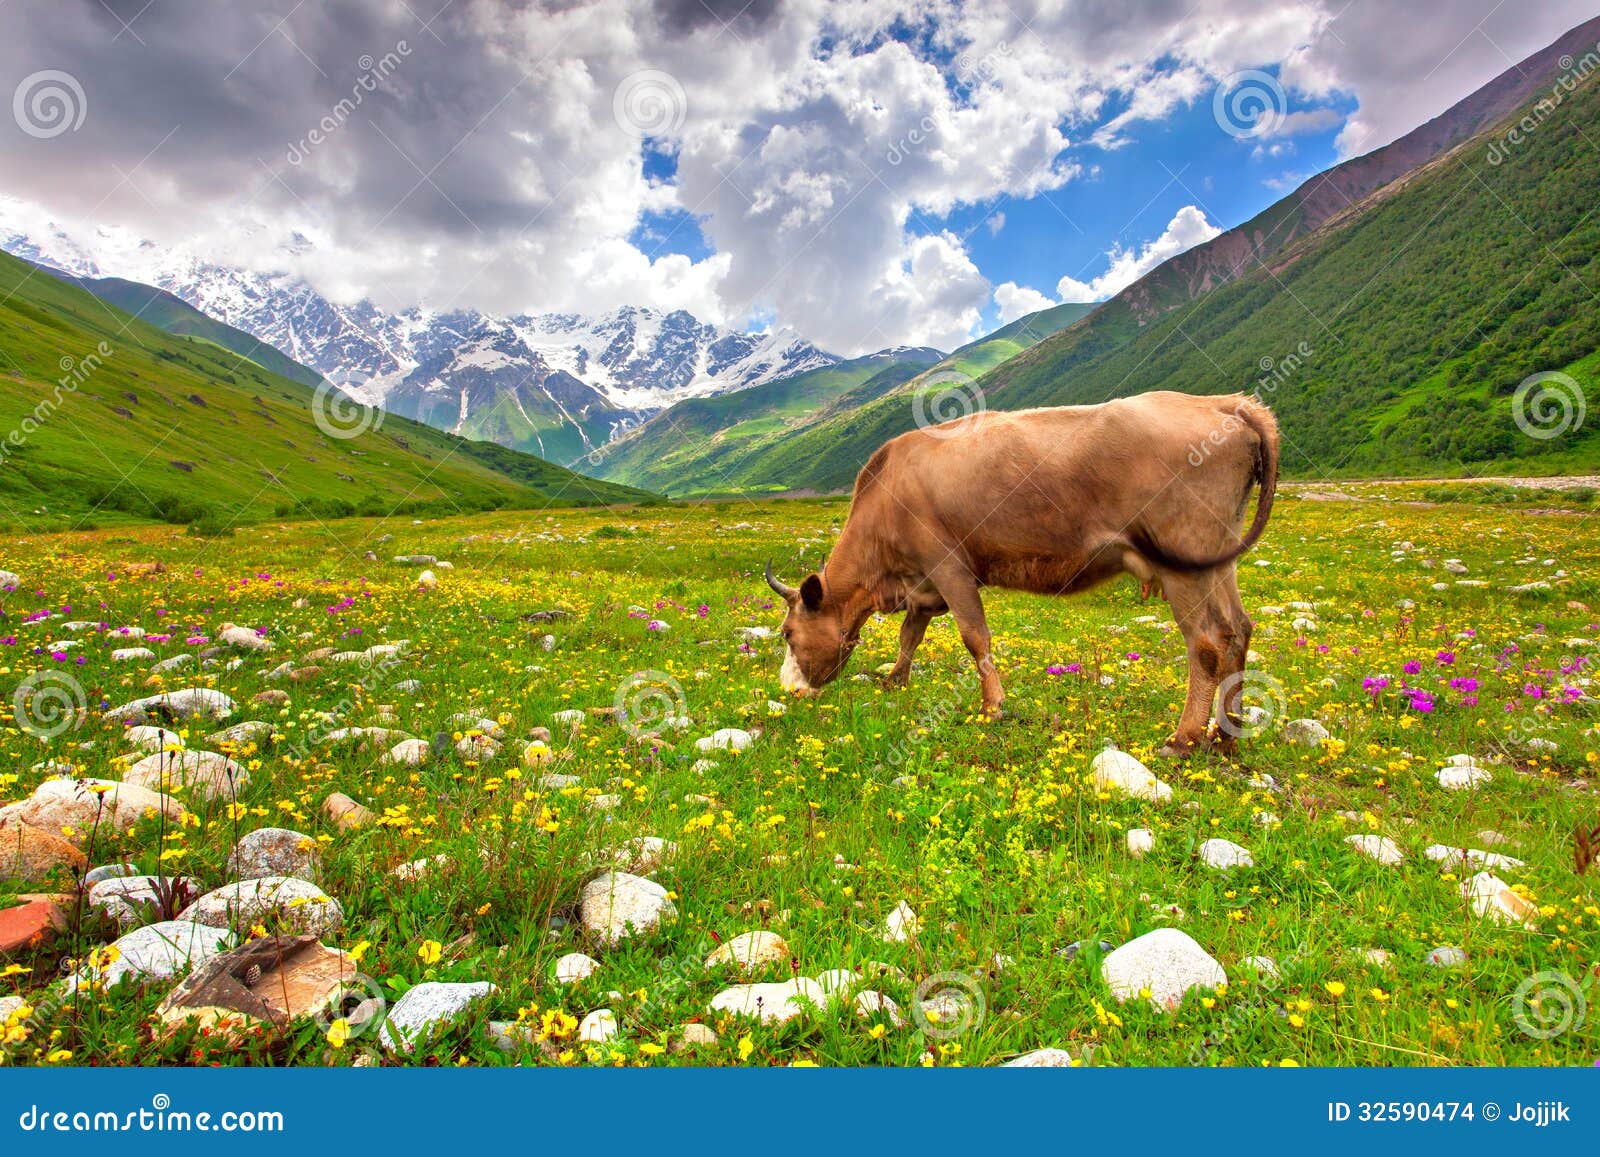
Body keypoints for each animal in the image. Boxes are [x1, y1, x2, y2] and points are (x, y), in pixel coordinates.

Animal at [764, 391, 1279, 757]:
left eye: (788, 633)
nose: (788, 688)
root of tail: (1225, 402)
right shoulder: (923, 585)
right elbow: (911, 634)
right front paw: (895, 679)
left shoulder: (948, 567)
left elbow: (975, 638)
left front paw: (992, 707)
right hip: (1219, 558)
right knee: (1238, 629)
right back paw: (1226, 736)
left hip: (1183, 563)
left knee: (1208, 642)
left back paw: (1183, 739)